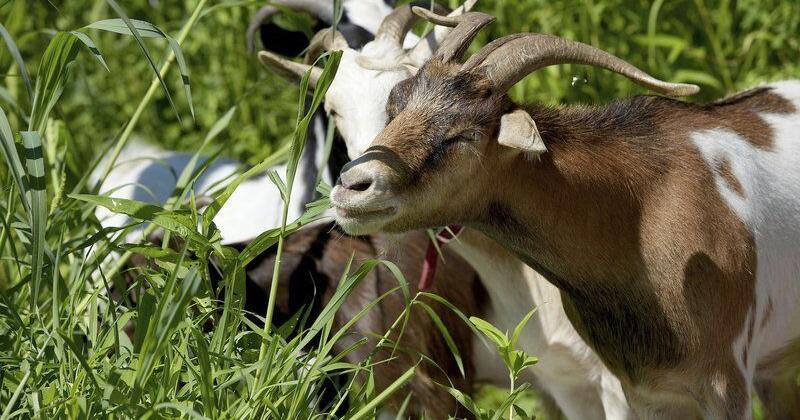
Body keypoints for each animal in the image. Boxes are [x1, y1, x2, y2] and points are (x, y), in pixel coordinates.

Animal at [330, 7, 800, 419]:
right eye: (397, 105)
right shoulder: (646, 391)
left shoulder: (723, 384)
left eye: (464, 135)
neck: (644, 212)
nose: (352, 185)